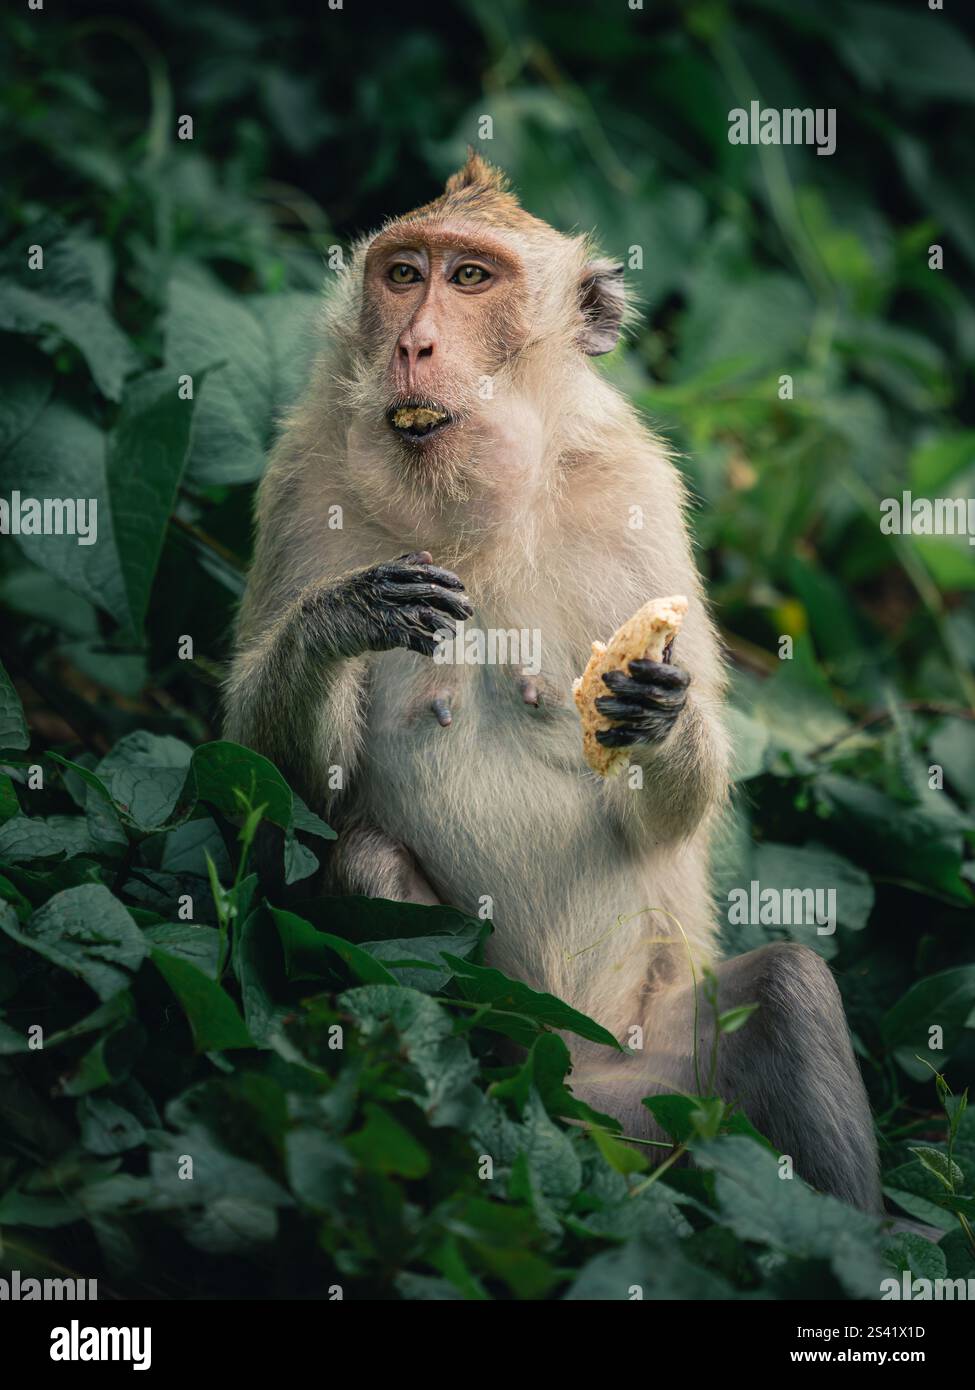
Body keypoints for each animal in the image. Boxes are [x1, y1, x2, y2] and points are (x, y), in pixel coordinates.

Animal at [223, 153, 881, 1212]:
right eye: (402, 274)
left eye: (470, 279)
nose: (413, 342)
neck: (470, 510)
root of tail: (573, 1094)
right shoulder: (300, 479)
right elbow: (283, 786)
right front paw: (342, 618)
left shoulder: (638, 498)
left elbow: (673, 811)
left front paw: (661, 715)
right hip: (535, 1067)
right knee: (367, 868)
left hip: (661, 1094)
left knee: (785, 987)